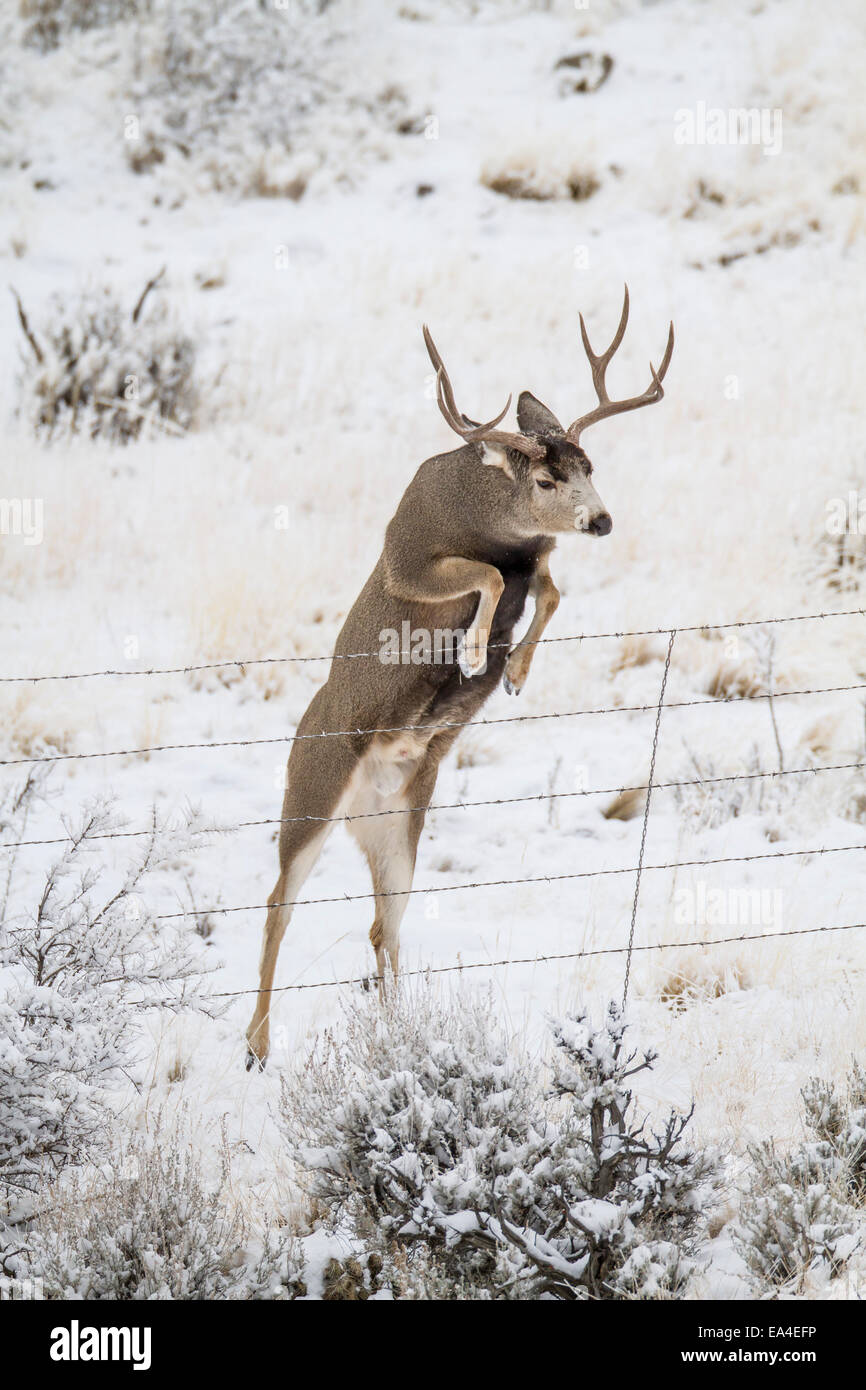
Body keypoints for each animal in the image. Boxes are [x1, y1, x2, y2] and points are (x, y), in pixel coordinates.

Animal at [245, 286, 674, 1068]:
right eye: (547, 477)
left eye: (592, 466)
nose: (600, 521)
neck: (493, 518)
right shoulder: (407, 562)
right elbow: (485, 577)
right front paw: (474, 654)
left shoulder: (537, 563)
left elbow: (552, 591)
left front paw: (514, 673)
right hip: (311, 794)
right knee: (277, 906)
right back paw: (258, 1047)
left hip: (401, 823)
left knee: (384, 924)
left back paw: (396, 1032)